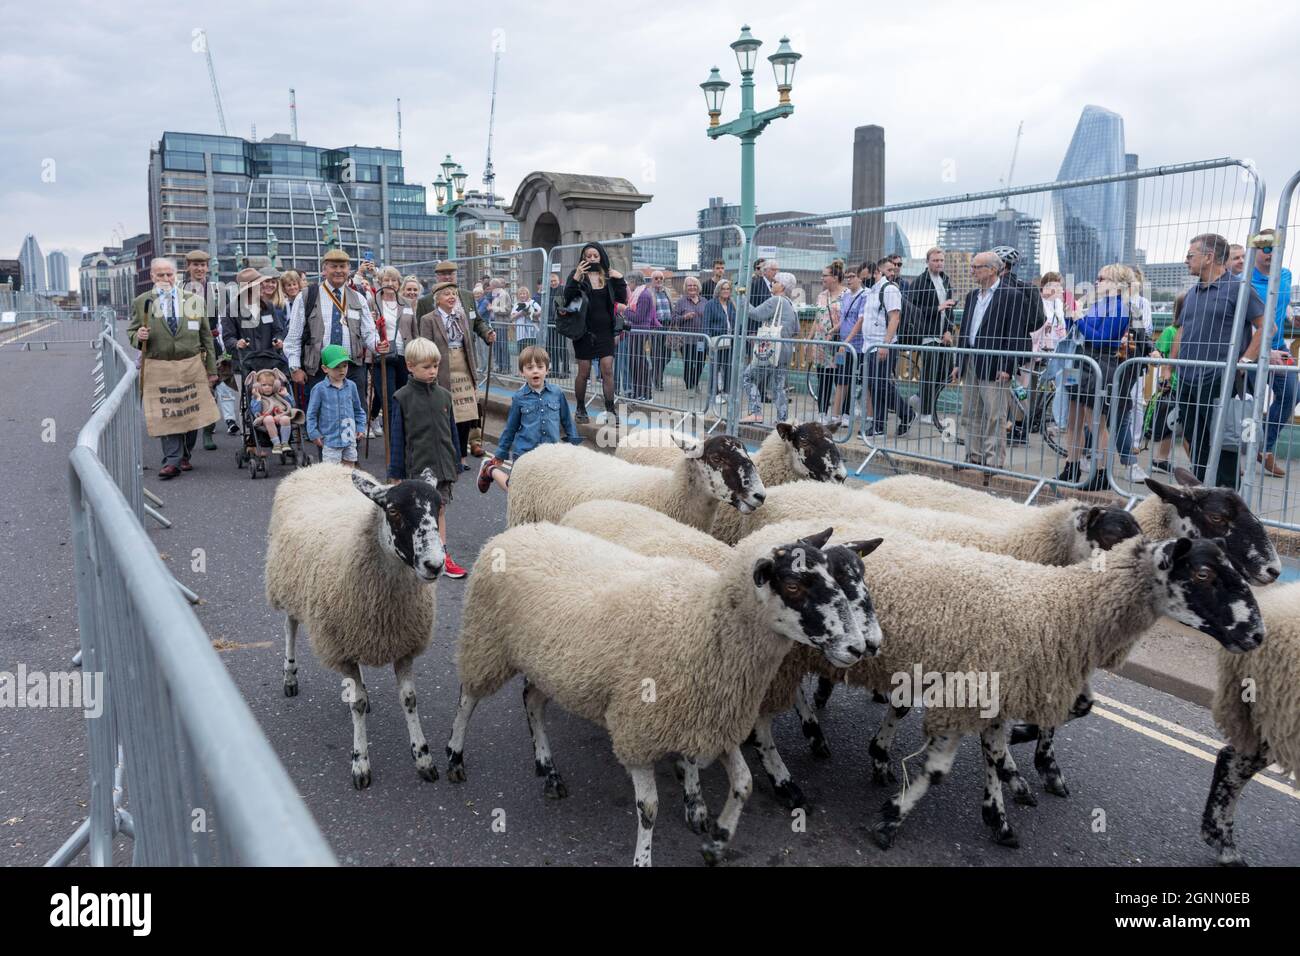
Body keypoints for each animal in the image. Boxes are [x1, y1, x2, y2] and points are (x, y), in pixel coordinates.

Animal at [265, 463, 445, 789]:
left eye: (439, 507)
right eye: (393, 511)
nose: (435, 565)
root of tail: (318, 466)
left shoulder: (403, 645)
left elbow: (409, 700)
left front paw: (423, 758)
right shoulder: (341, 645)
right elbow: (357, 705)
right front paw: (360, 763)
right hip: (288, 587)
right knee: (290, 628)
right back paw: (290, 676)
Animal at [444, 522, 881, 866]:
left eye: (836, 580)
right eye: (791, 584)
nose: (858, 648)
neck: (704, 626)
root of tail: (513, 532)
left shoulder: (712, 721)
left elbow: (743, 784)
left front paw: (716, 843)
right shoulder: (636, 729)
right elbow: (650, 809)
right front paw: (644, 858)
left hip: (551, 667)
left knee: (532, 702)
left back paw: (549, 771)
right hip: (485, 641)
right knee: (466, 700)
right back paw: (453, 757)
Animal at [746, 518, 1264, 849]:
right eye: (1203, 573)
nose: (1257, 634)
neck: (1063, 607)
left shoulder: (998, 690)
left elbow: (995, 755)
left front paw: (999, 812)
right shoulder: (968, 692)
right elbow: (940, 769)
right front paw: (892, 819)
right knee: (766, 715)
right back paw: (794, 761)